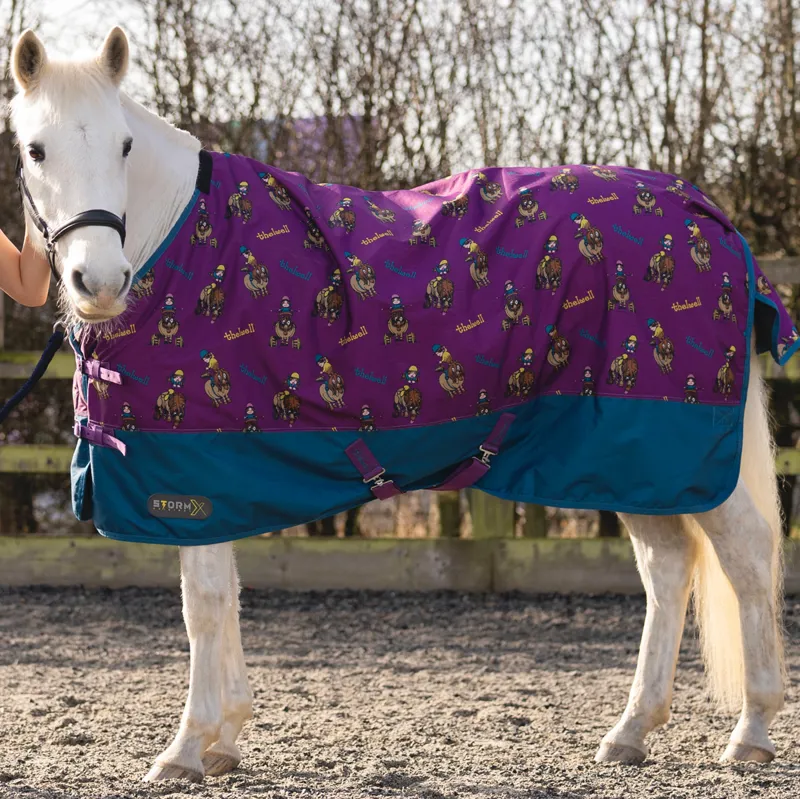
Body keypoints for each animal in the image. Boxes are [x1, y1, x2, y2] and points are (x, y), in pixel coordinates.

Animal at [11, 26, 788, 785]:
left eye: (124, 145)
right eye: (35, 148)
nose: (100, 281)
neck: (184, 244)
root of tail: (710, 216)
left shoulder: (191, 480)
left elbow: (201, 606)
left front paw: (186, 746)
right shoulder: (218, 477)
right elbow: (225, 597)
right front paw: (226, 737)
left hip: (676, 452)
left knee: (748, 556)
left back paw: (752, 730)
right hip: (628, 457)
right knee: (667, 567)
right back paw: (630, 731)